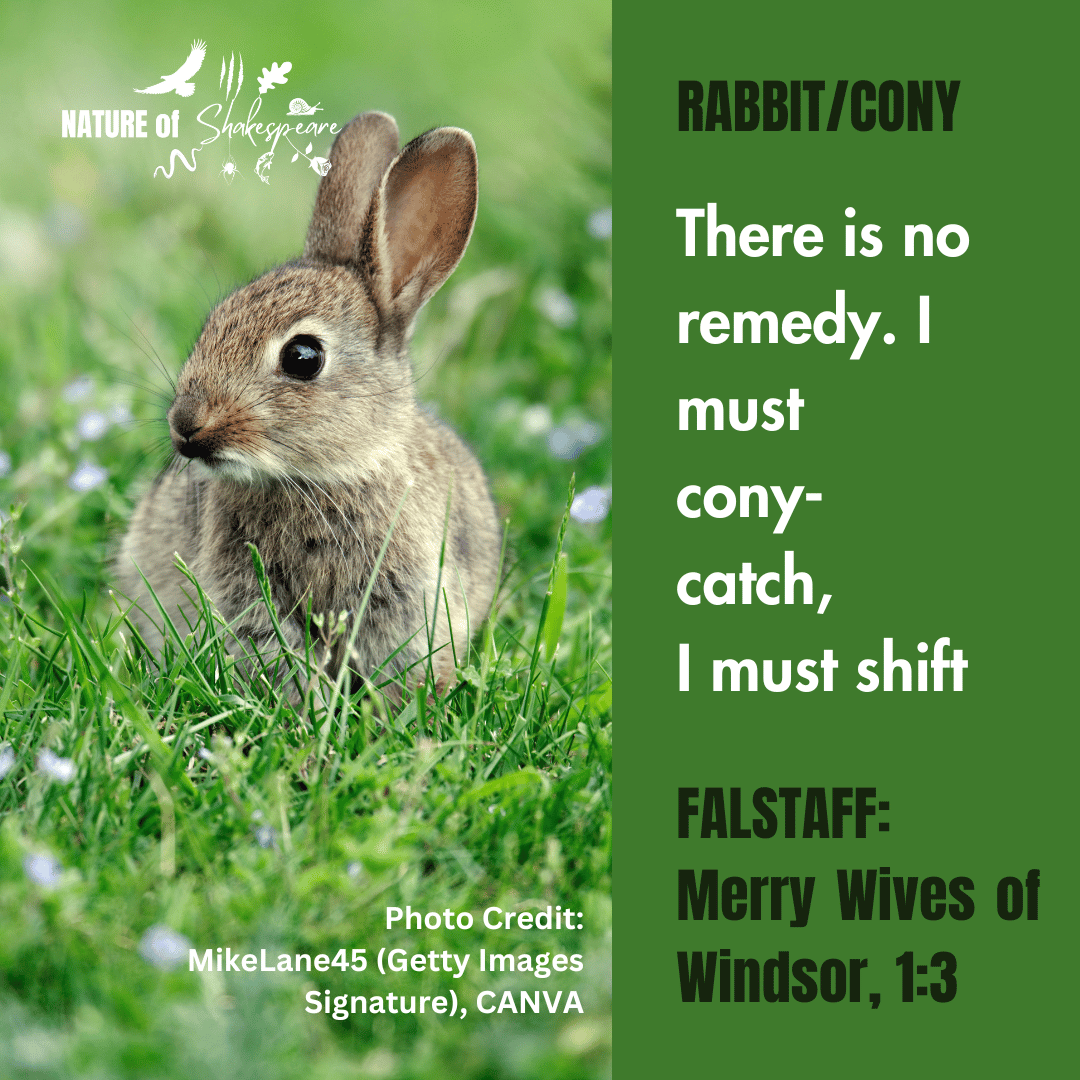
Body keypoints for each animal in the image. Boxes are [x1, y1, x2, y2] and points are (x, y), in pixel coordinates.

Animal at [116, 111, 501, 700]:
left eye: (303, 357)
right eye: (212, 324)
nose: (186, 426)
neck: (324, 478)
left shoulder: (407, 600)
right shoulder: (246, 596)